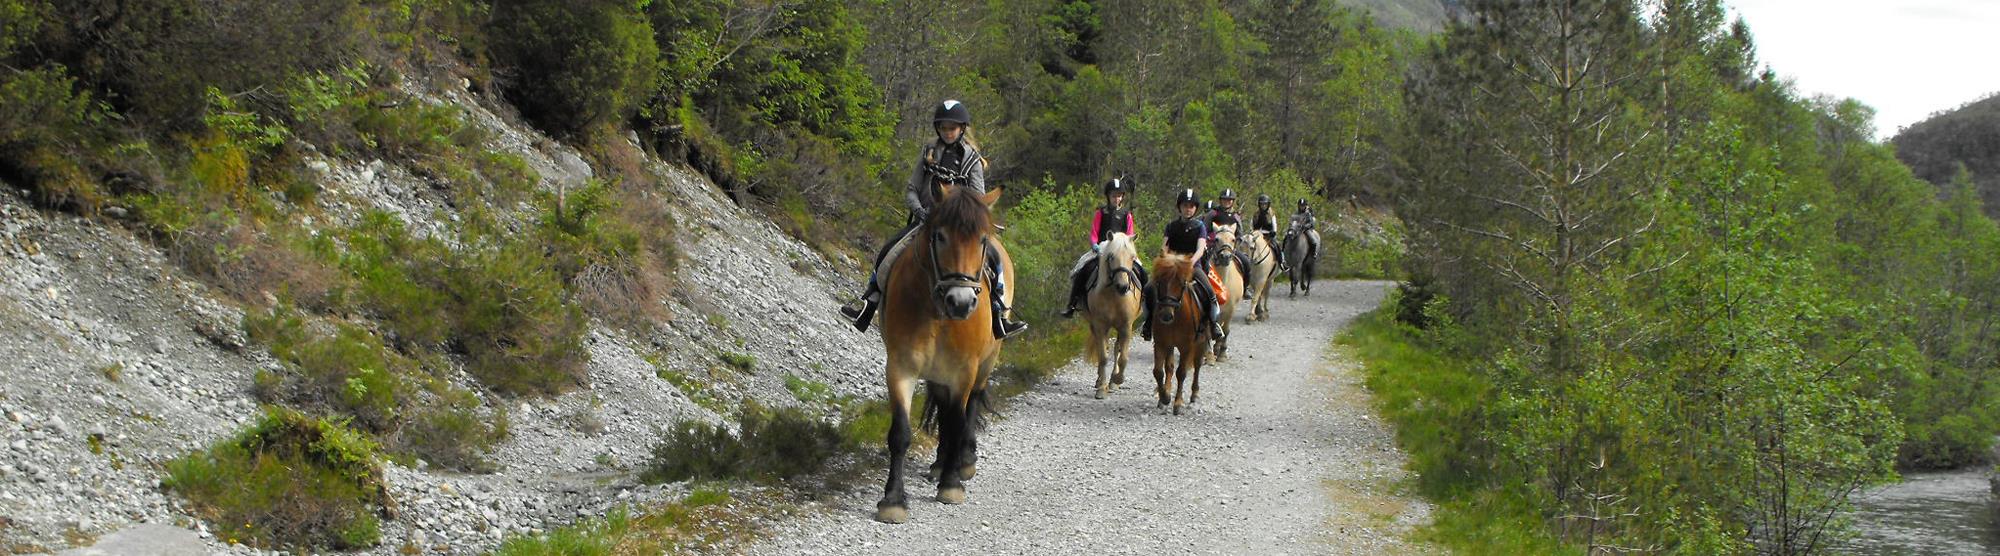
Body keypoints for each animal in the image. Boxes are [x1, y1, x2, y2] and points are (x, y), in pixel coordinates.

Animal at [874, 185, 1013, 524]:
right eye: (939, 236)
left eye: (982, 239)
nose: (960, 302)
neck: (938, 314)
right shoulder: (901, 368)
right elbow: (900, 433)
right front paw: (893, 500)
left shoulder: (963, 372)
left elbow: (958, 422)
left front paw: (951, 484)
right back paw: (939, 463)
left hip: (985, 364)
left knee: (971, 406)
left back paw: (963, 461)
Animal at [1084, 232, 1143, 400]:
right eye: (1111, 257)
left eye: (1132, 257)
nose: (1123, 286)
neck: (1114, 296)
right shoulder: (1100, 326)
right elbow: (1103, 356)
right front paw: (1101, 389)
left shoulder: (1126, 327)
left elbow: (1123, 357)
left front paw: (1117, 380)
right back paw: (1100, 381)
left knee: (1117, 348)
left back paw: (1112, 382)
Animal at [1148, 254, 1209, 415]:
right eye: (1160, 282)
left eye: (1181, 283)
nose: (1166, 315)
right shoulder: (1161, 343)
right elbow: (1158, 371)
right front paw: (1164, 397)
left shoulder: (1187, 346)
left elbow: (1181, 373)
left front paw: (1177, 403)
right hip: (1171, 345)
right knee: (1169, 367)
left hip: (1201, 342)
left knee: (1197, 365)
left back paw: (1194, 395)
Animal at [1207, 229, 1246, 361]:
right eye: (1216, 239)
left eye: (1233, 239)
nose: (1225, 256)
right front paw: (1208, 355)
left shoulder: (1231, 309)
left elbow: (1226, 330)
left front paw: (1222, 353)